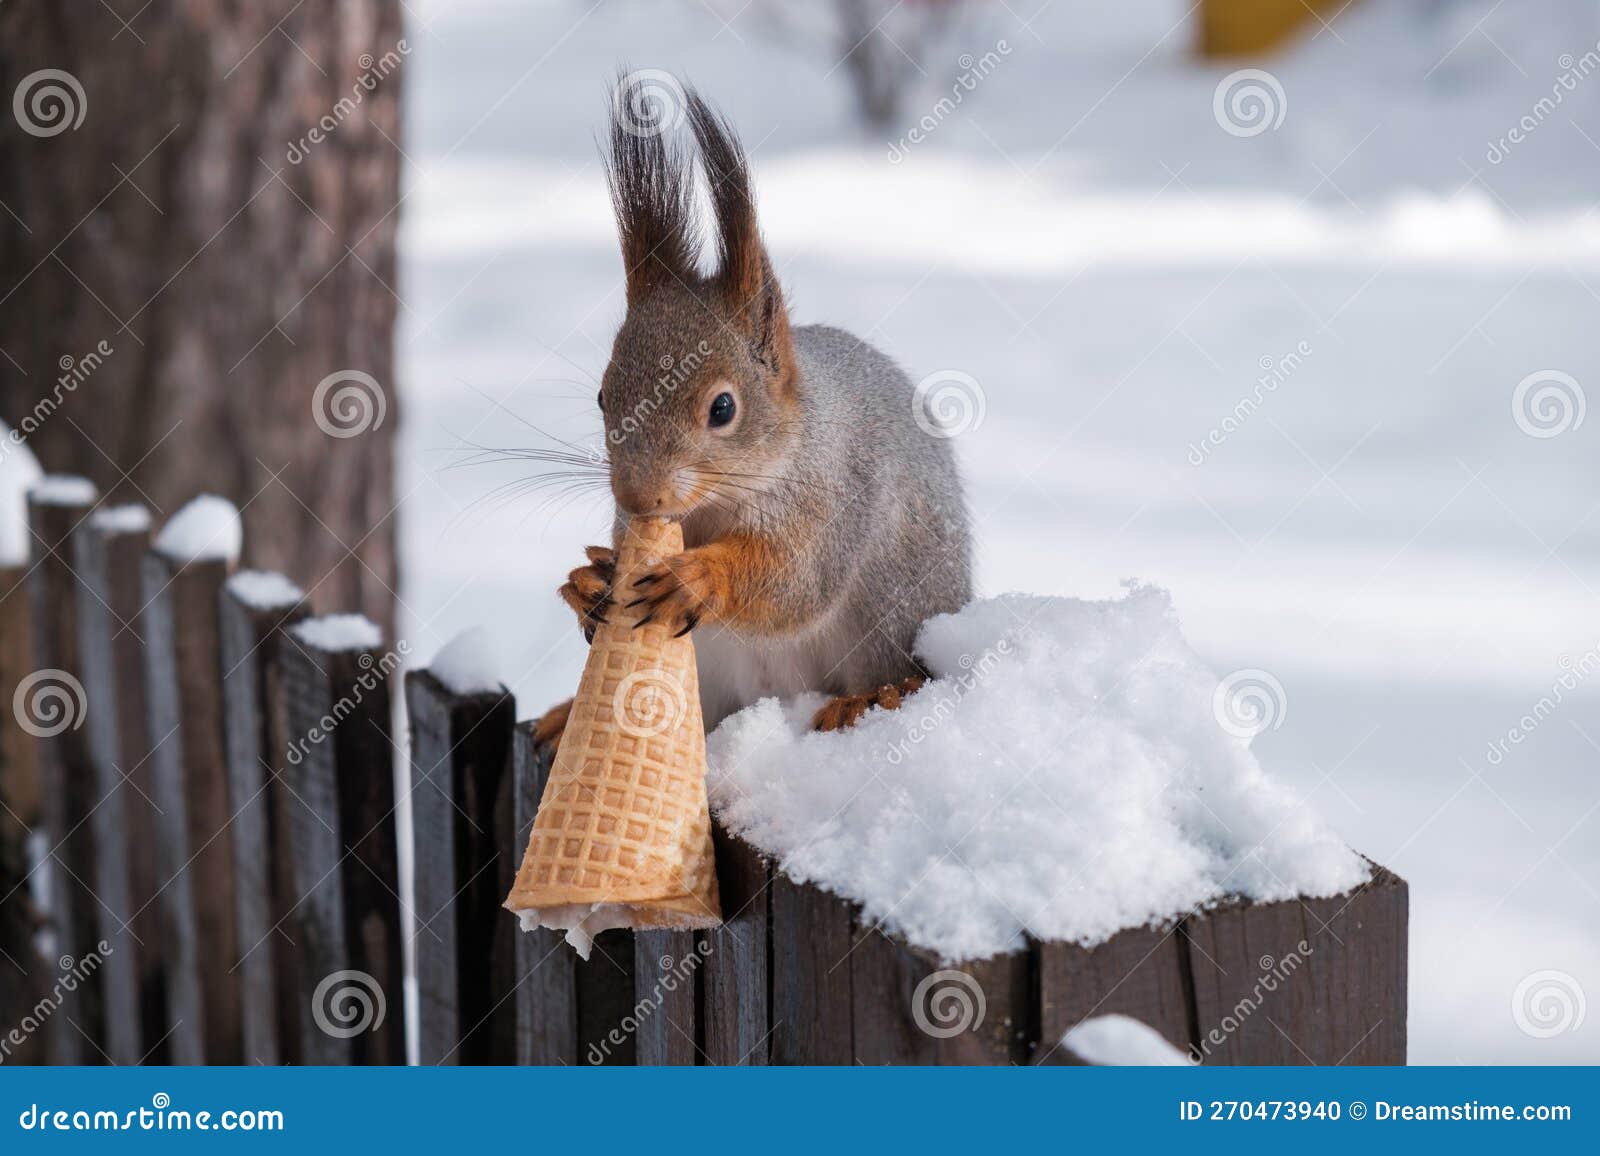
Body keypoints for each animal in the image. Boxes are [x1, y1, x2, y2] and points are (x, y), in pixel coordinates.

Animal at [534, 82, 971, 749]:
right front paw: (588, 581)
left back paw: (869, 698)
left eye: (723, 407)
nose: (638, 495)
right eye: (604, 396)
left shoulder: (832, 499)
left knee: (902, 672)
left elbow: (794, 580)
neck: (715, 505)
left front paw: (698, 579)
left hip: (894, 610)